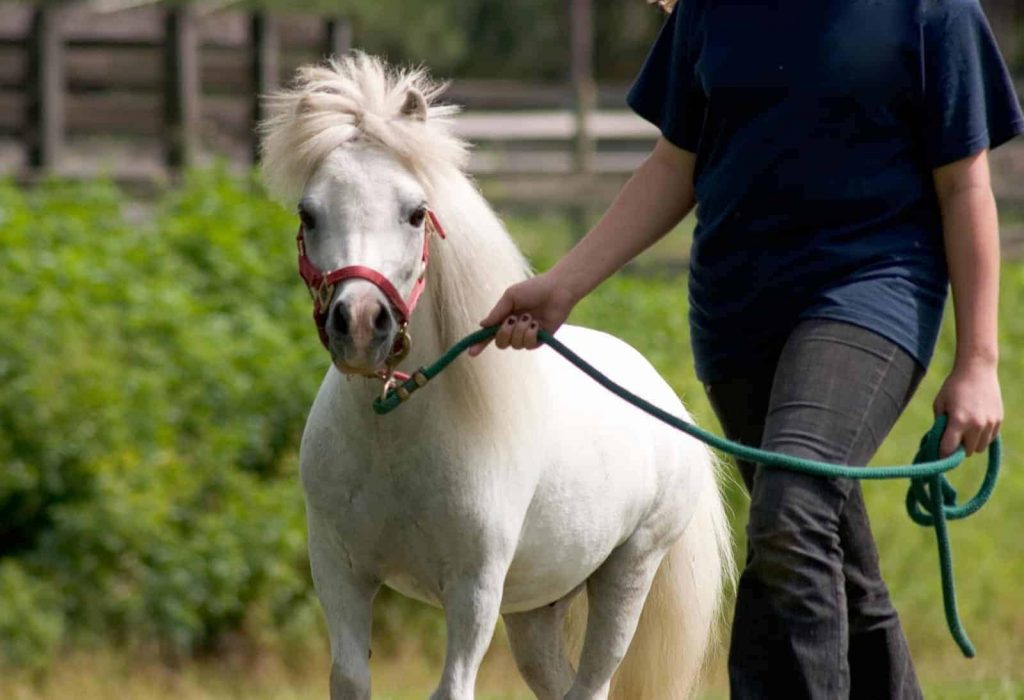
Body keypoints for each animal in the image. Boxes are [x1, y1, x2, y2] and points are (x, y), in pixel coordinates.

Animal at [259, 54, 734, 700]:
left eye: (415, 212)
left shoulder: (474, 589)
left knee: (595, 682)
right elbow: (351, 679)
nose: (359, 324)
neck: (394, 437)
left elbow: (452, 688)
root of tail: (664, 399)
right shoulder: (339, 572)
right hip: (536, 607)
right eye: (309, 213)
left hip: (627, 574)